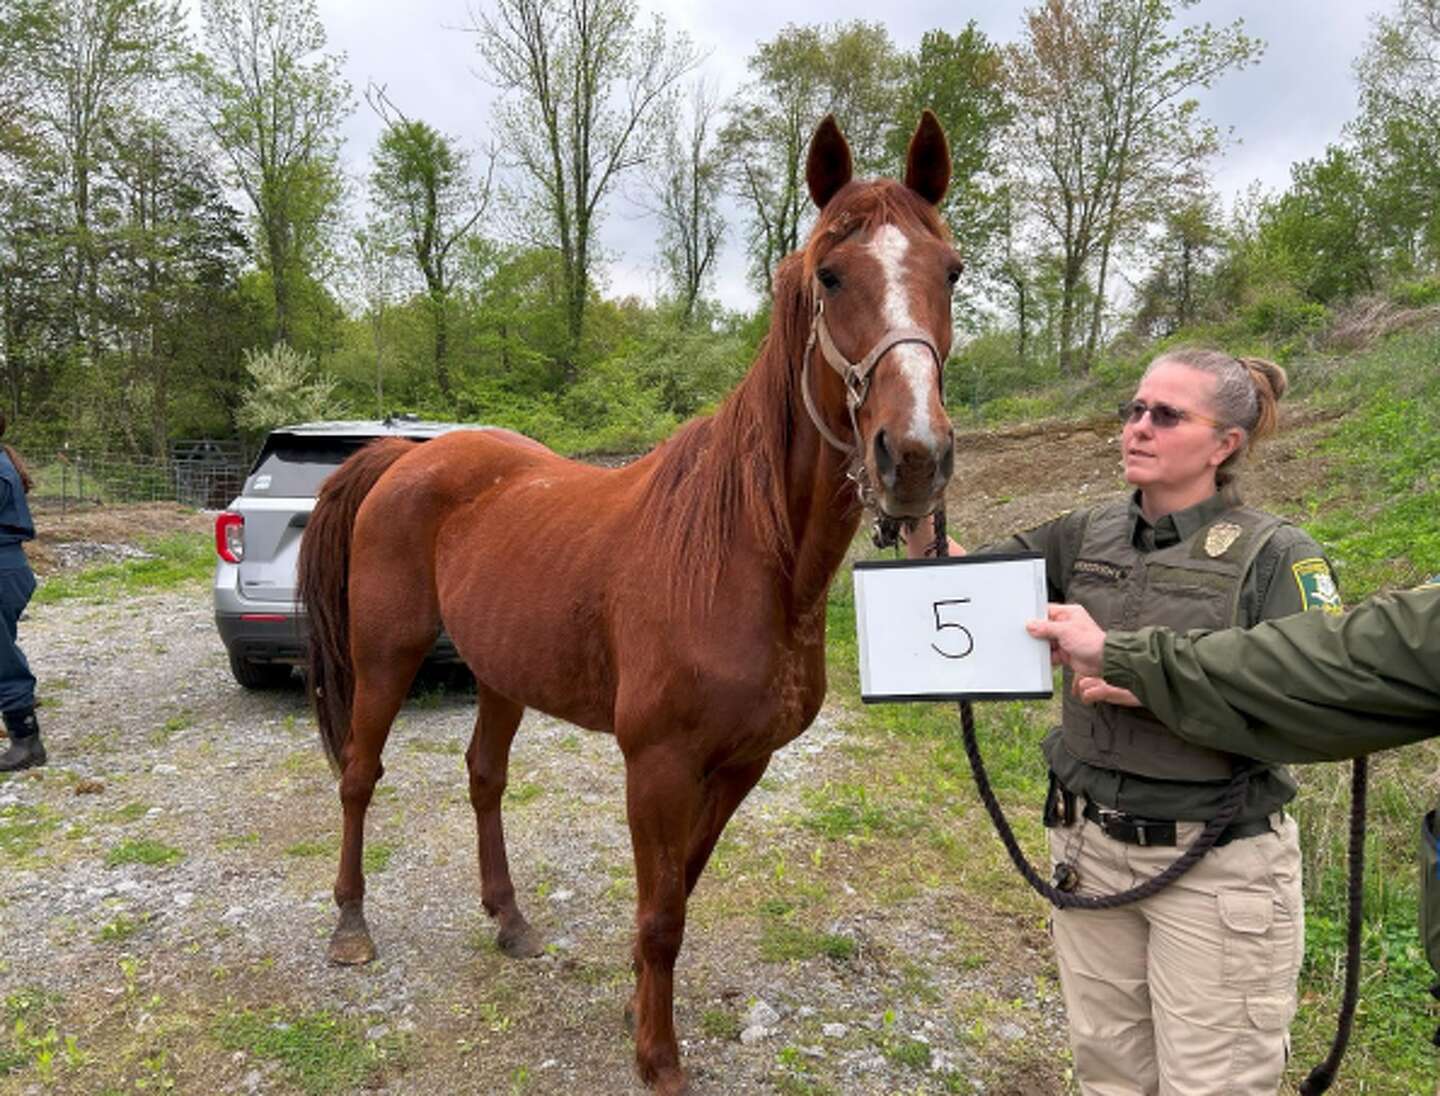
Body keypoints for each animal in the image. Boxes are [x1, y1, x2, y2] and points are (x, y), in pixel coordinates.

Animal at [296, 110, 961, 1094]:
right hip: (387, 657)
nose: (913, 457)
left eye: (950, 271)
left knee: (483, 777)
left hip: (501, 672)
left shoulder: (740, 764)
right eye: (830, 275)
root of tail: (405, 456)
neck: (743, 554)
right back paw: (350, 926)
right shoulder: (657, 766)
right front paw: (657, 1056)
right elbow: (661, 912)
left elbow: (680, 888)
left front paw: (633, 1008)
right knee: (357, 776)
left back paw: (510, 919)